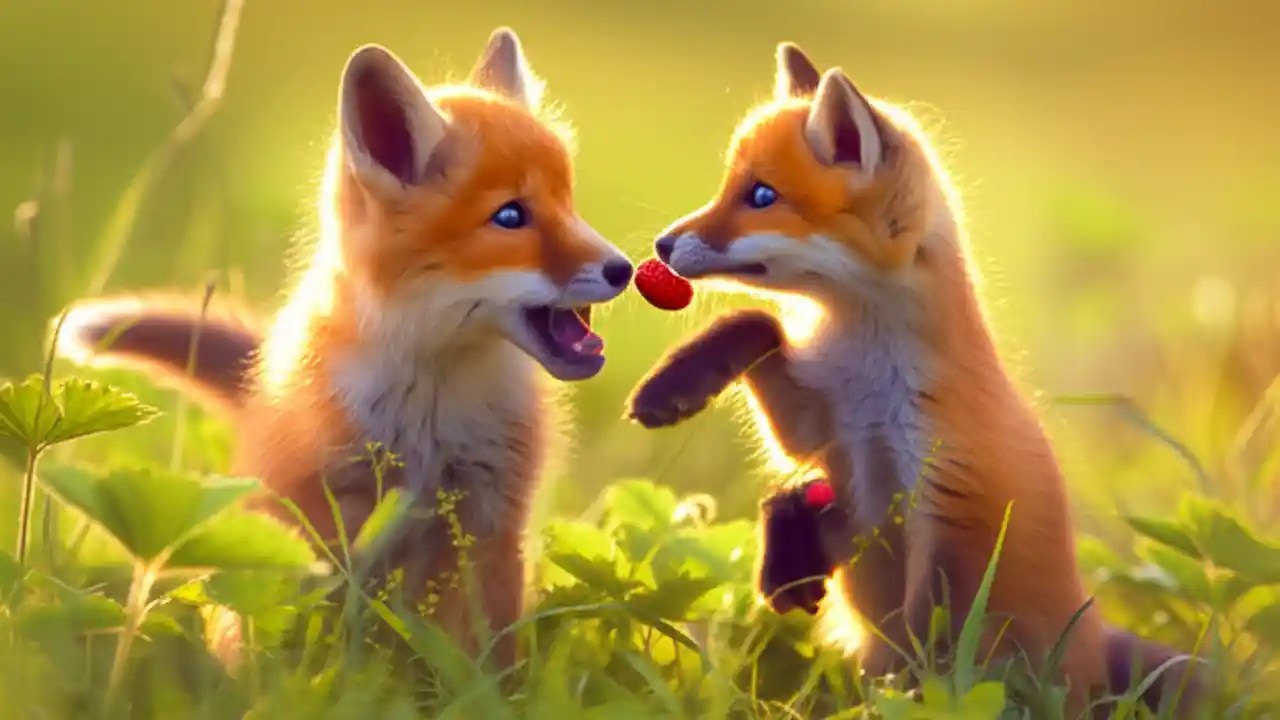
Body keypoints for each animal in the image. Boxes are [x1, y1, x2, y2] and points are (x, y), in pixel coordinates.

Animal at [57, 28, 633, 670]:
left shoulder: (490, 523)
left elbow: (482, 658)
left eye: (569, 202)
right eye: (511, 216)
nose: (626, 269)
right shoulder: (332, 522)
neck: (430, 405)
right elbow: (311, 647)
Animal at [627, 43, 1203, 715]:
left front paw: (913, 696)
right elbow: (759, 321)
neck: (868, 372)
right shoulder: (826, 429)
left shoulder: (947, 502)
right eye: (731, 187)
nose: (662, 245)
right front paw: (676, 384)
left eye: (761, 195)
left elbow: (931, 636)